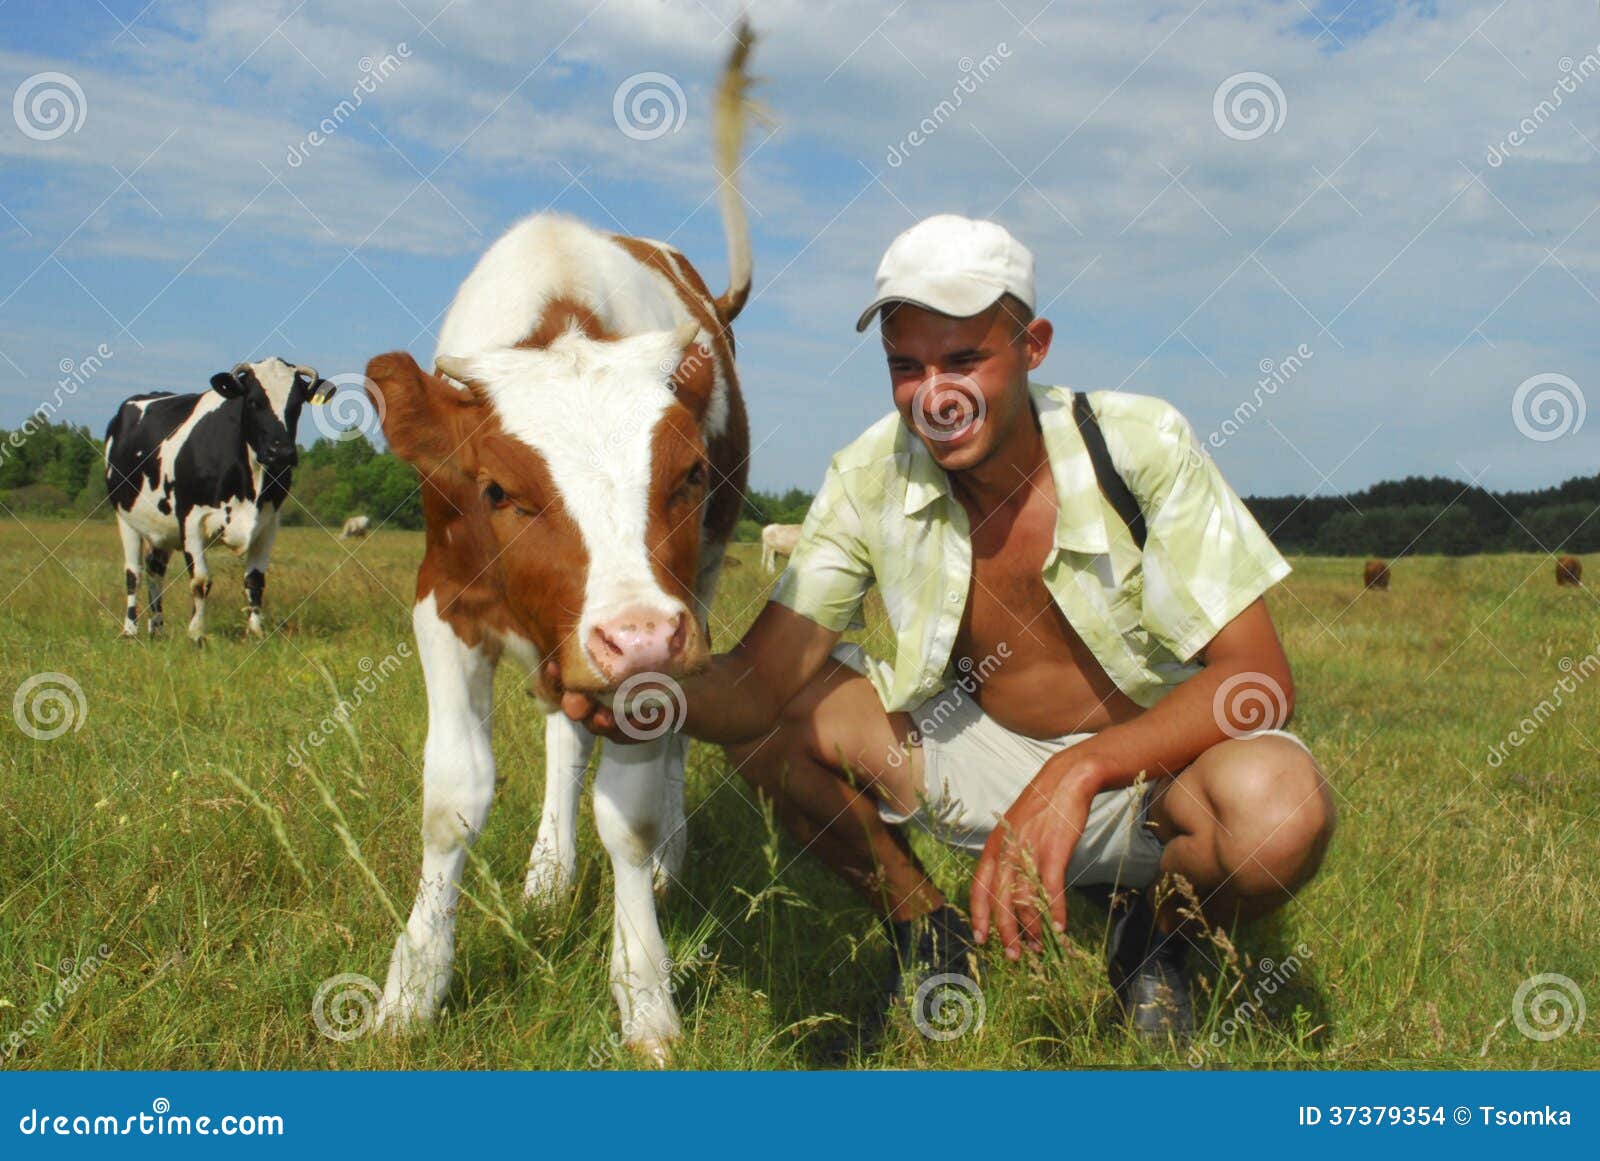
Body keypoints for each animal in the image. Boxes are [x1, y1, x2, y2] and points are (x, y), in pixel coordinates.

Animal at [103, 357, 333, 642]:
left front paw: (256, 632)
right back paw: (130, 630)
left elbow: (255, 580)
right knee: (133, 573)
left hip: (159, 528)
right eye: (253, 401)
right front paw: (196, 634)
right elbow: (201, 581)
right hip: (125, 518)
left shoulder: (269, 523)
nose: (281, 452)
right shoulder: (191, 519)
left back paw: (157, 629)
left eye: (297, 404)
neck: (250, 484)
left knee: (155, 570)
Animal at [365, 25, 757, 1063]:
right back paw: (548, 871)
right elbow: (454, 797)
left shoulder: (659, 635)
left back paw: (667, 865)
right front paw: (412, 988)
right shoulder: (441, 605)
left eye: (688, 474)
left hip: (696, 589)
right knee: (558, 737)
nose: (641, 637)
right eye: (498, 490)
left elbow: (631, 812)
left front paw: (646, 995)